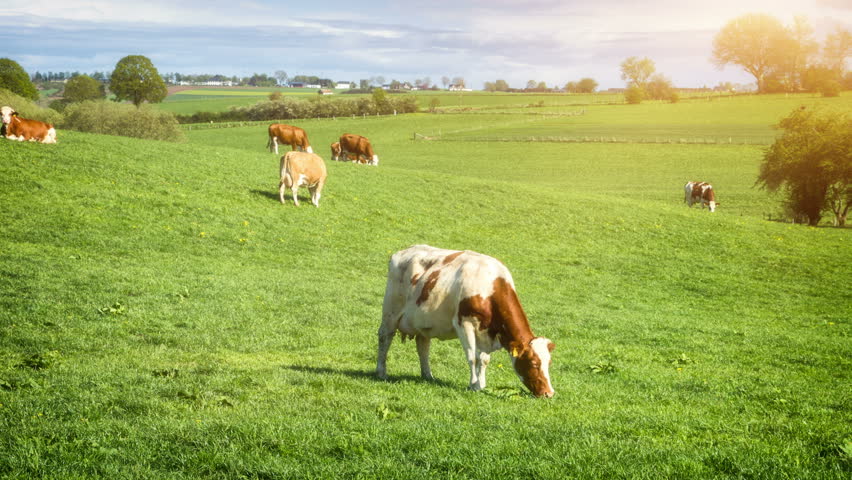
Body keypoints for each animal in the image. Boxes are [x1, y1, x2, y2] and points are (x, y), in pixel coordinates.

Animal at [377, 245, 555, 398]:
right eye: (533, 363)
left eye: (549, 363)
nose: (549, 393)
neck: (489, 286)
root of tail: (404, 251)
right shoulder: (464, 323)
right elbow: (472, 357)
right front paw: (473, 384)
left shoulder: (487, 331)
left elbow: (484, 360)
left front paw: (481, 385)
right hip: (390, 311)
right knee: (385, 337)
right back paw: (381, 372)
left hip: (423, 321)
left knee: (423, 346)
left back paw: (428, 375)